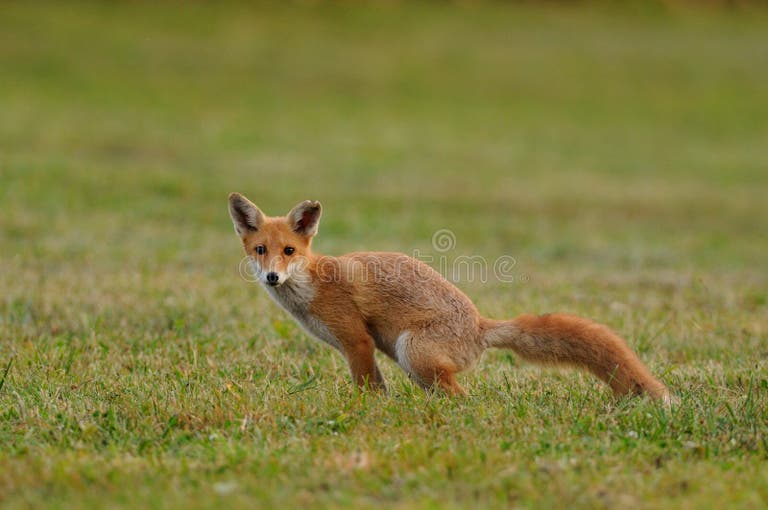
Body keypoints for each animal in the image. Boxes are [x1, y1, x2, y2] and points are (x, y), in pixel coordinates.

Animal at [228, 193, 670, 402]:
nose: (271, 276)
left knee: (463, 398)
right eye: (260, 250)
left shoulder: (357, 339)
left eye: (289, 251)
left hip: (411, 351)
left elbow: (368, 389)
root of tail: (479, 326)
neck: (312, 286)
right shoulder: (359, 346)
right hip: (412, 364)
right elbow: (377, 388)